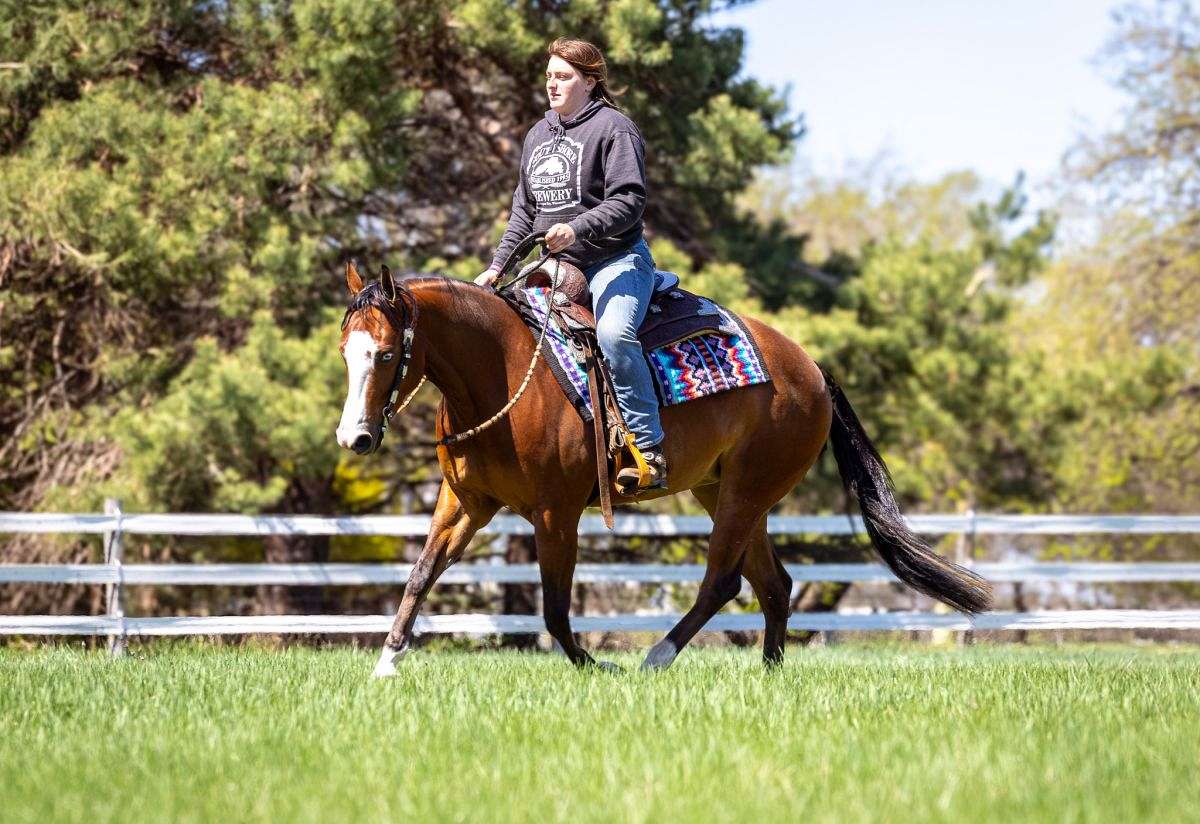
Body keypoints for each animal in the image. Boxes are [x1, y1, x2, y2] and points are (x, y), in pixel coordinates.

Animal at [335, 260, 993, 676]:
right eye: (346, 351)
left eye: (387, 355)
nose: (354, 437)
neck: (504, 373)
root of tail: (810, 368)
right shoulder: (464, 503)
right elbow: (420, 575)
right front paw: (387, 663)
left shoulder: (556, 513)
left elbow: (554, 609)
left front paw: (596, 666)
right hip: (725, 491)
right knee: (773, 584)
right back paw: (769, 672)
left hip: (745, 492)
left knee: (724, 581)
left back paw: (657, 656)